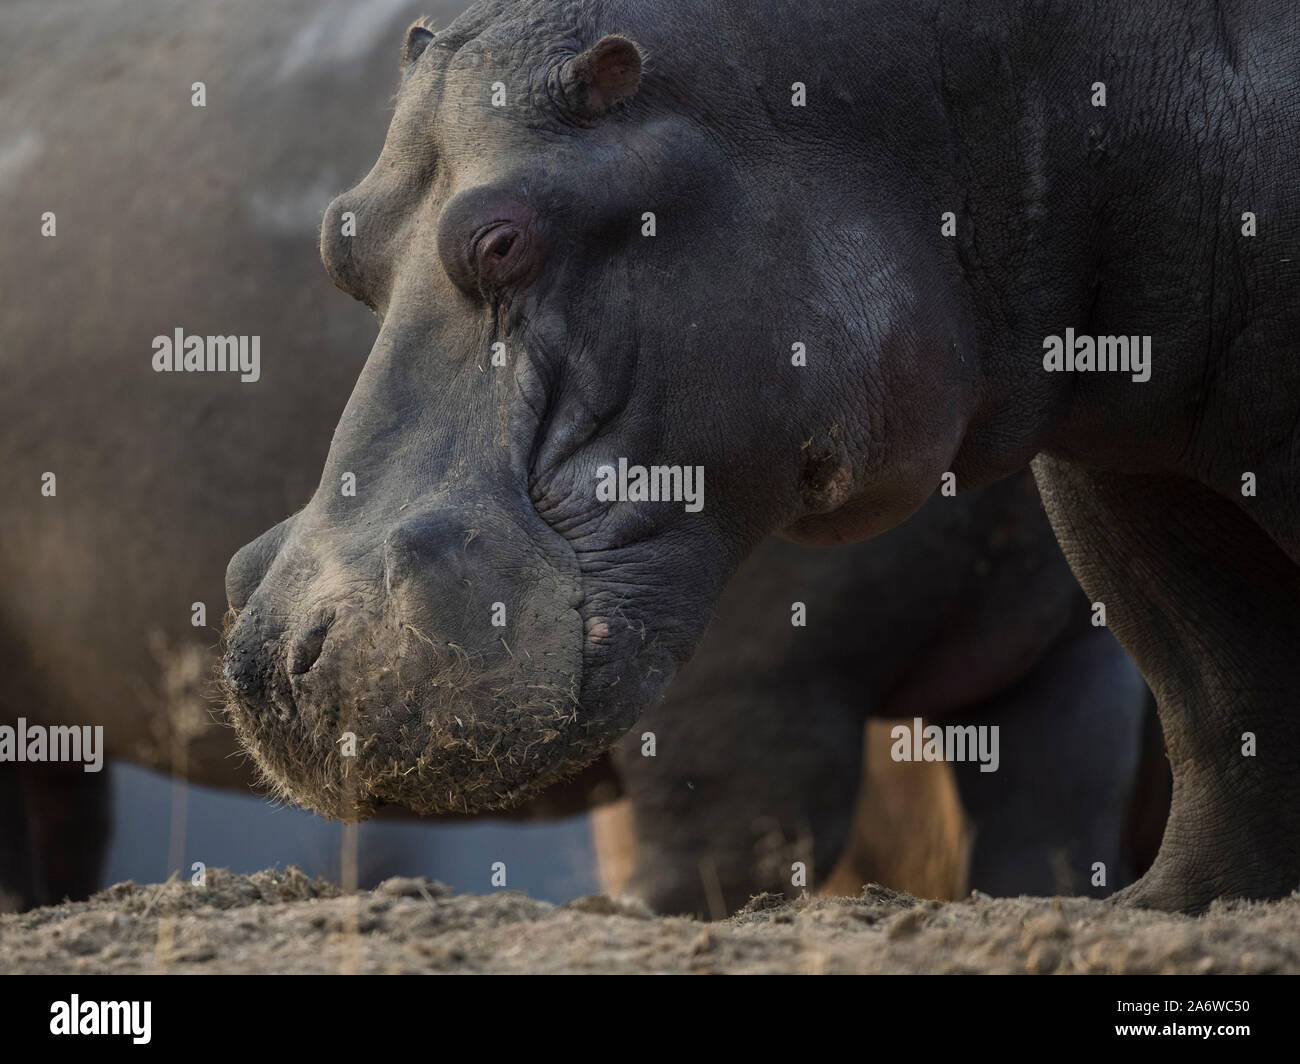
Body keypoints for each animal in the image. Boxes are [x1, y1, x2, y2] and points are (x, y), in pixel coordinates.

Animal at [2, 0, 1159, 914]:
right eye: (337, 250)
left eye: (499, 245)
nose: (270, 653)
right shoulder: (751, 705)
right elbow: (714, 869)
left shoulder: (1062, 665)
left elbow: (1047, 853)